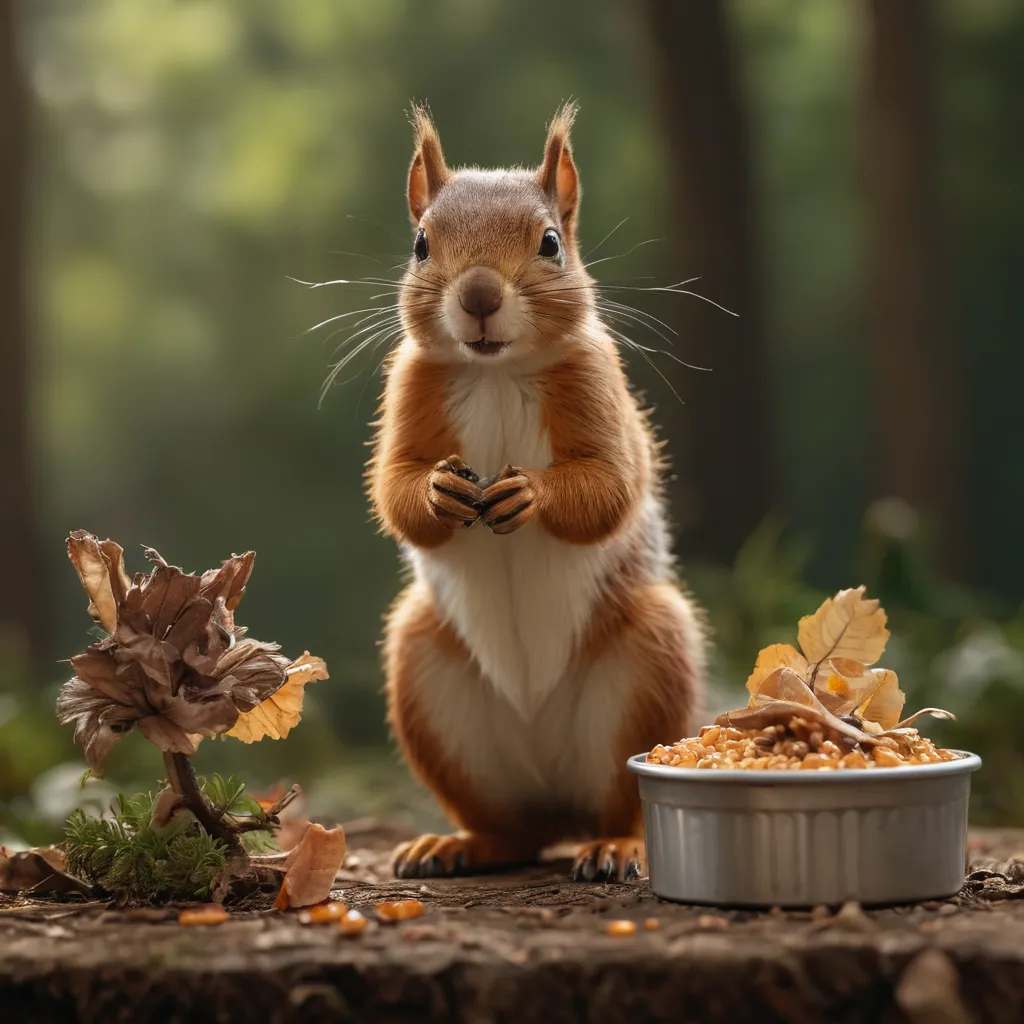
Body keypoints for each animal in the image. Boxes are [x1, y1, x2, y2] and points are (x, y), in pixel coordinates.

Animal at [368, 103, 705, 882]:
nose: (479, 297)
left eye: (551, 243)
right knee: (511, 832)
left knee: (620, 805)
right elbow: (393, 487)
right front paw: (435, 492)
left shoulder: (597, 383)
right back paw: (458, 845)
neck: (493, 372)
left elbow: (612, 484)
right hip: (429, 681)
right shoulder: (409, 389)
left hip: (649, 663)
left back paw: (616, 847)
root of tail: (558, 801)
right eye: (420, 244)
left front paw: (534, 495)